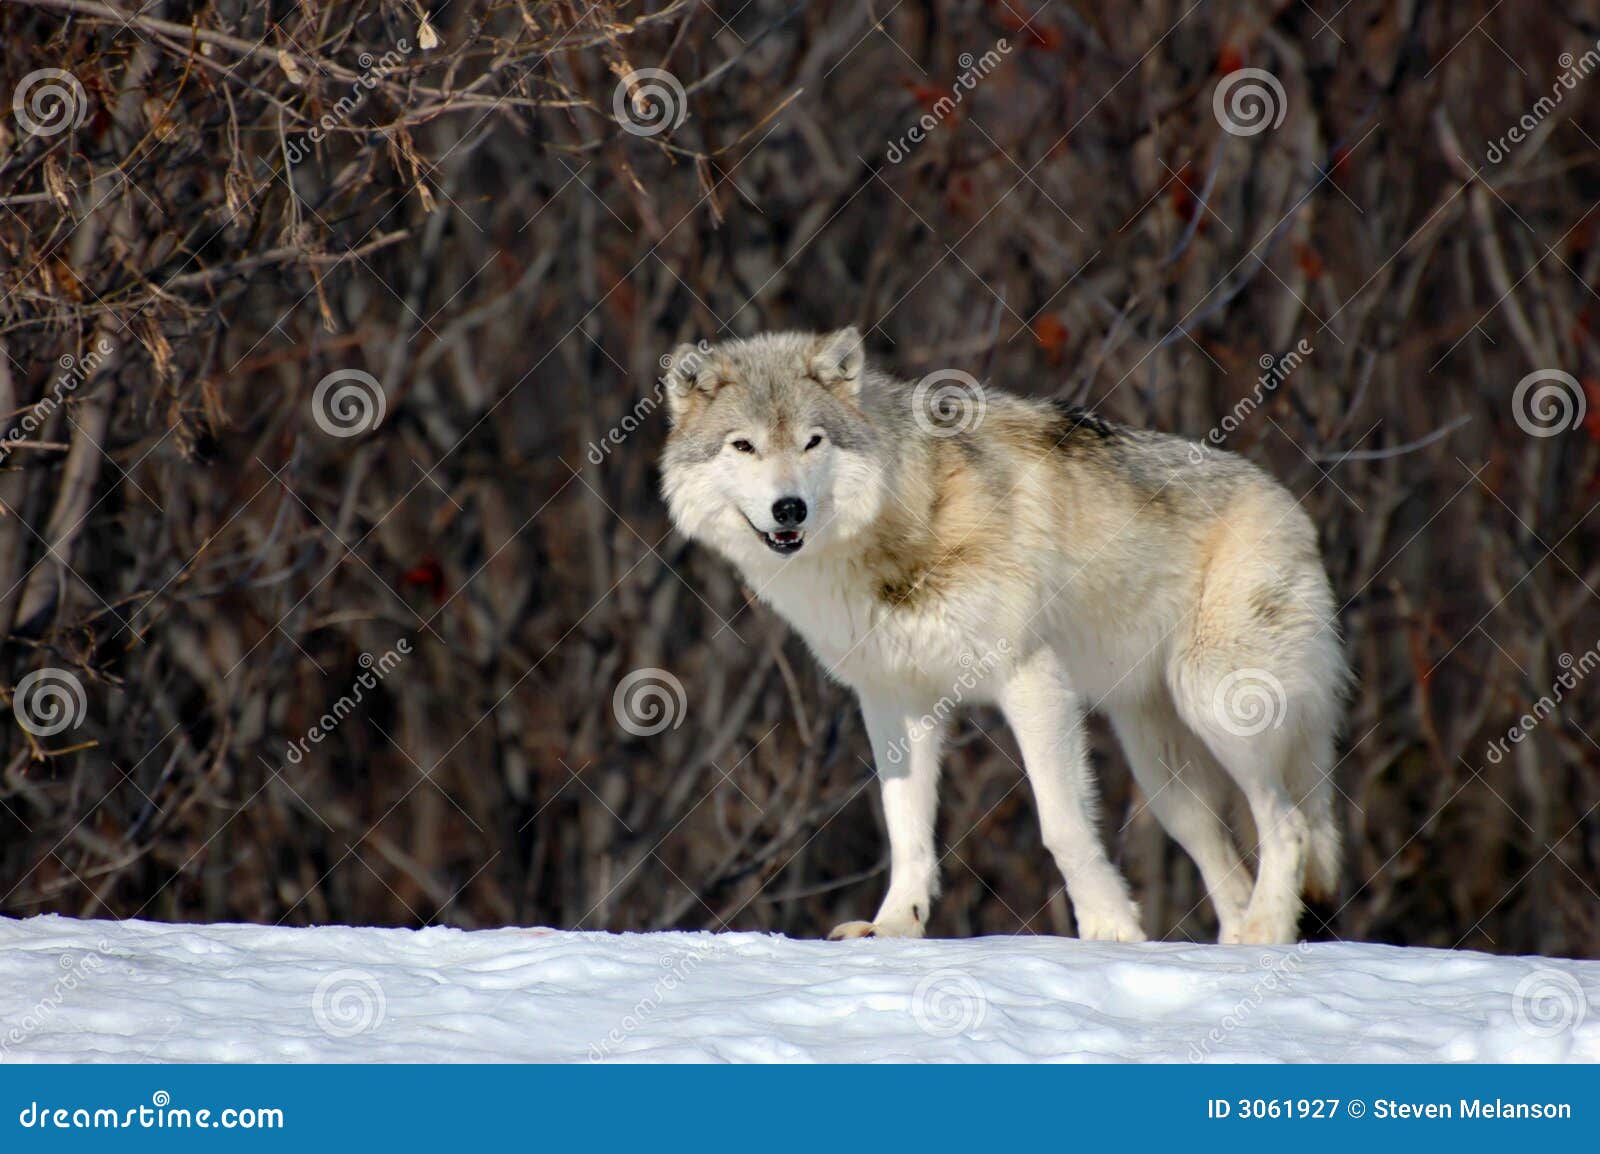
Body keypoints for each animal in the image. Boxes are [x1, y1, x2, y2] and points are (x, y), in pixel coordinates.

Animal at [659, 328, 1346, 945]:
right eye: (743, 445)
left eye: (812, 441)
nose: (789, 509)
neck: (904, 524)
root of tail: (1288, 500)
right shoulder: (894, 701)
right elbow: (905, 829)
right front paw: (893, 927)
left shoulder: (1031, 679)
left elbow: (1062, 826)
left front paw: (1110, 931)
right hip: (1163, 776)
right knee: (1230, 858)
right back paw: (1238, 945)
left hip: (1218, 708)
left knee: (1289, 825)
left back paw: (1263, 933)